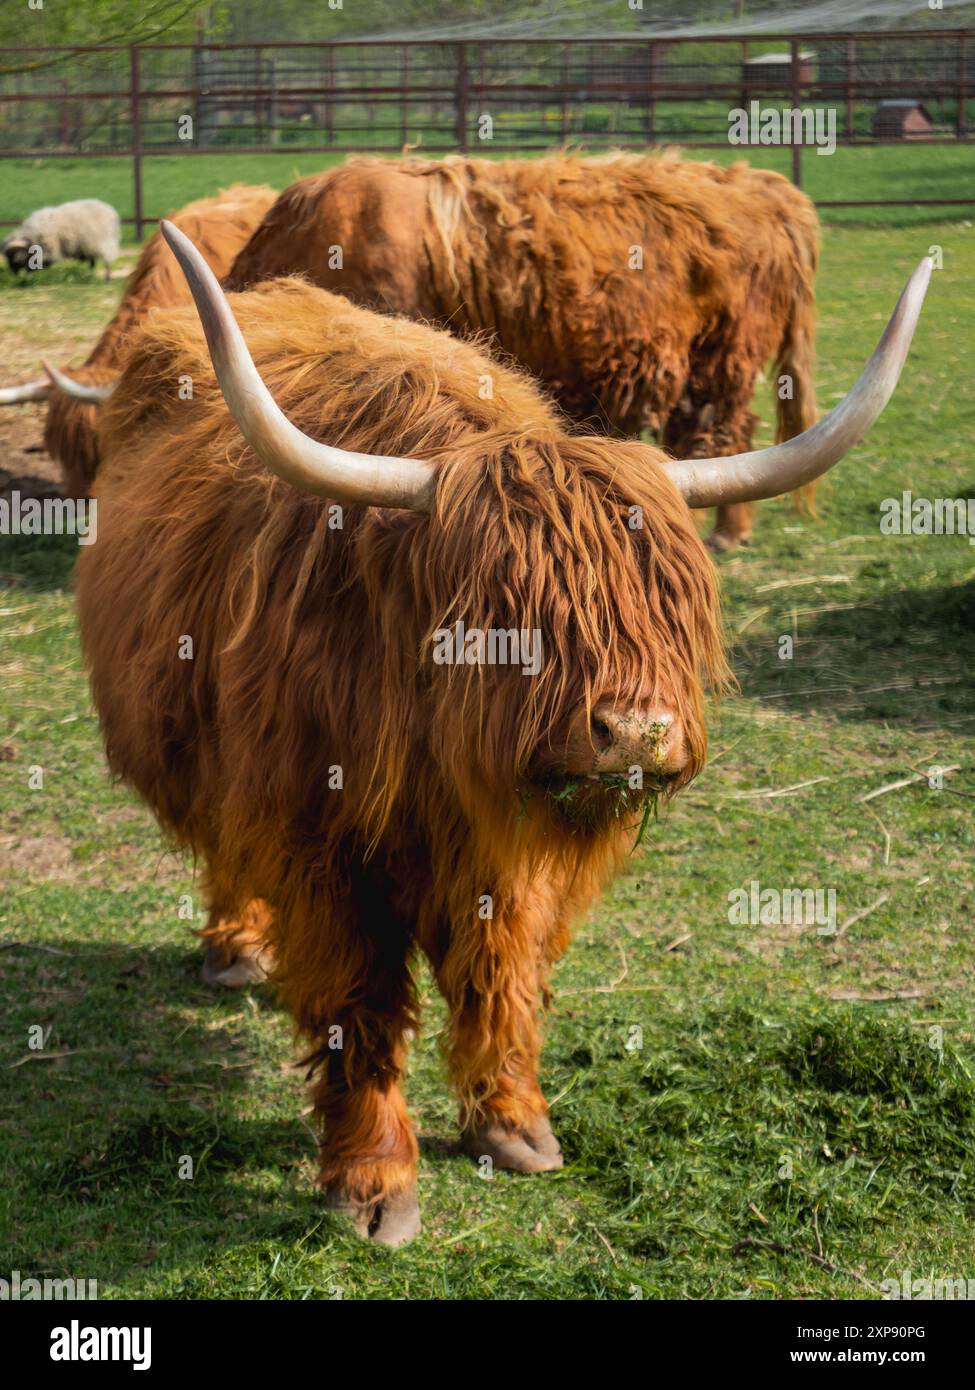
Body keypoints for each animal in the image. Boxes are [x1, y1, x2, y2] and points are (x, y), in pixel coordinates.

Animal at [73, 221, 929, 1245]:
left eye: (672, 601)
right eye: (509, 611)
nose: (632, 731)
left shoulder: (510, 854)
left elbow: (500, 972)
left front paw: (511, 1122)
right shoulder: (318, 843)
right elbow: (358, 1004)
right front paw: (371, 1180)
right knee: (224, 850)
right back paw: (234, 948)